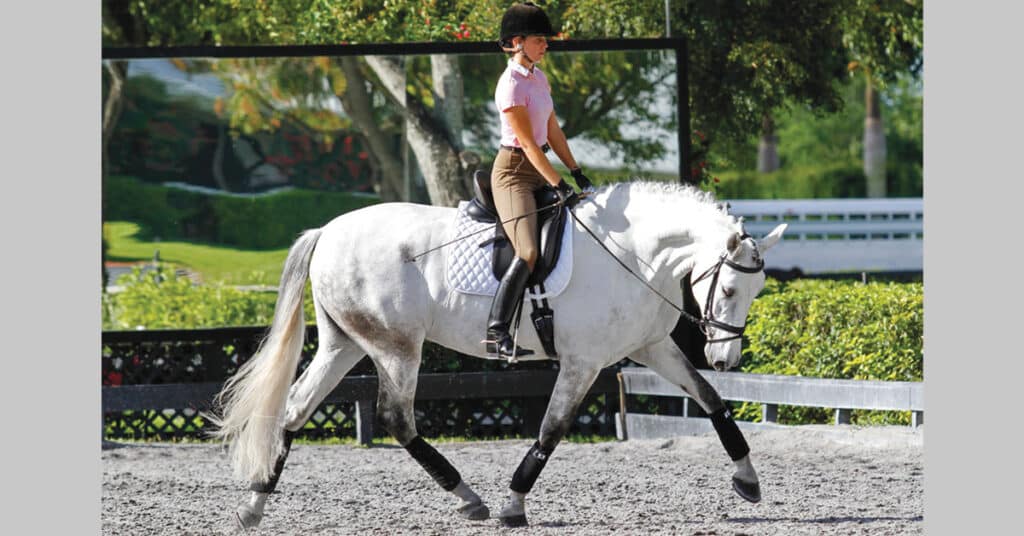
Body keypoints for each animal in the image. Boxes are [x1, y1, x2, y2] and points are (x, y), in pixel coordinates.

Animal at [208, 181, 787, 529]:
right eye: (729, 290)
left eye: (756, 292)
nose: (727, 358)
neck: (633, 255)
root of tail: (328, 230)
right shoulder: (583, 363)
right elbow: (551, 431)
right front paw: (514, 504)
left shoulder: (653, 347)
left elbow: (712, 401)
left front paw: (748, 480)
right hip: (397, 348)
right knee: (396, 418)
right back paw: (469, 497)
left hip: (343, 344)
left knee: (295, 409)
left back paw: (254, 504)